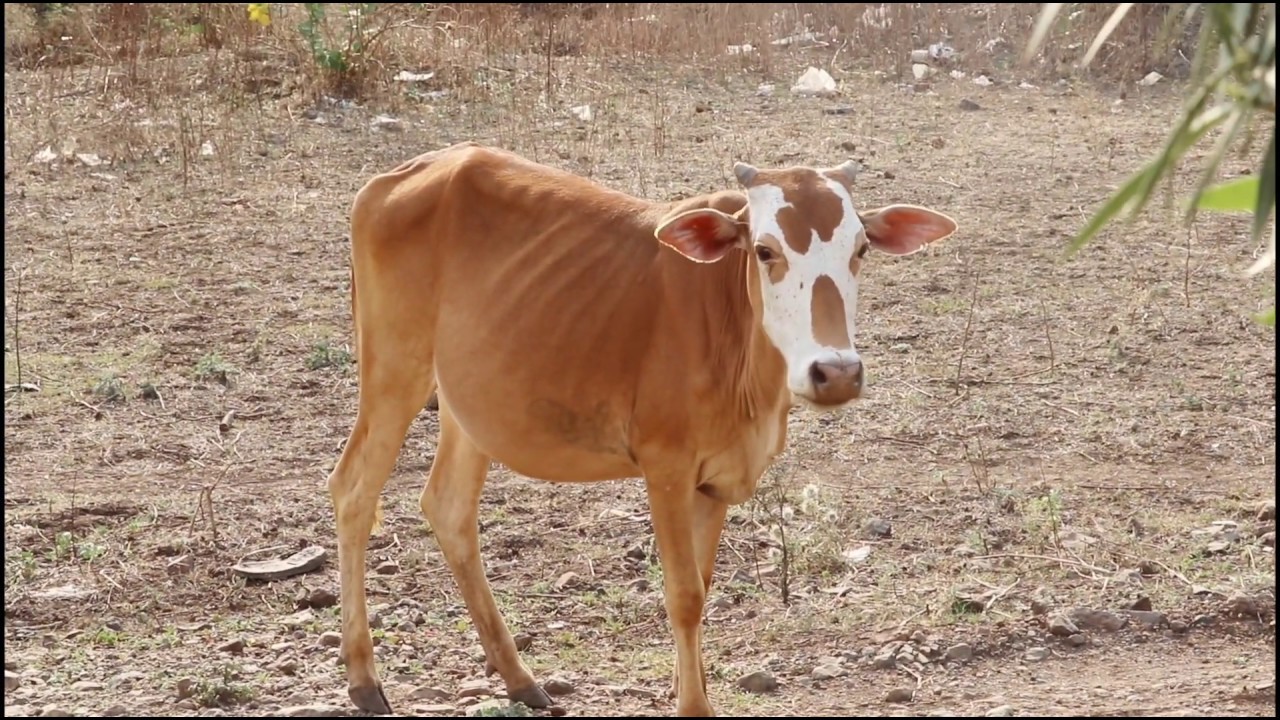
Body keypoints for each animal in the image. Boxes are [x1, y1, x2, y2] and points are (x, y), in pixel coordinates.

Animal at [327, 141, 958, 717]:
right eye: (764, 250)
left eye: (861, 248)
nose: (837, 372)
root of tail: (403, 174)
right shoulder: (666, 467)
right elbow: (683, 593)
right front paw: (693, 705)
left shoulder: (715, 478)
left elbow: (703, 583)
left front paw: (686, 684)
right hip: (395, 369)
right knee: (354, 491)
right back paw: (363, 678)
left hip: (469, 403)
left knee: (449, 507)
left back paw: (518, 677)